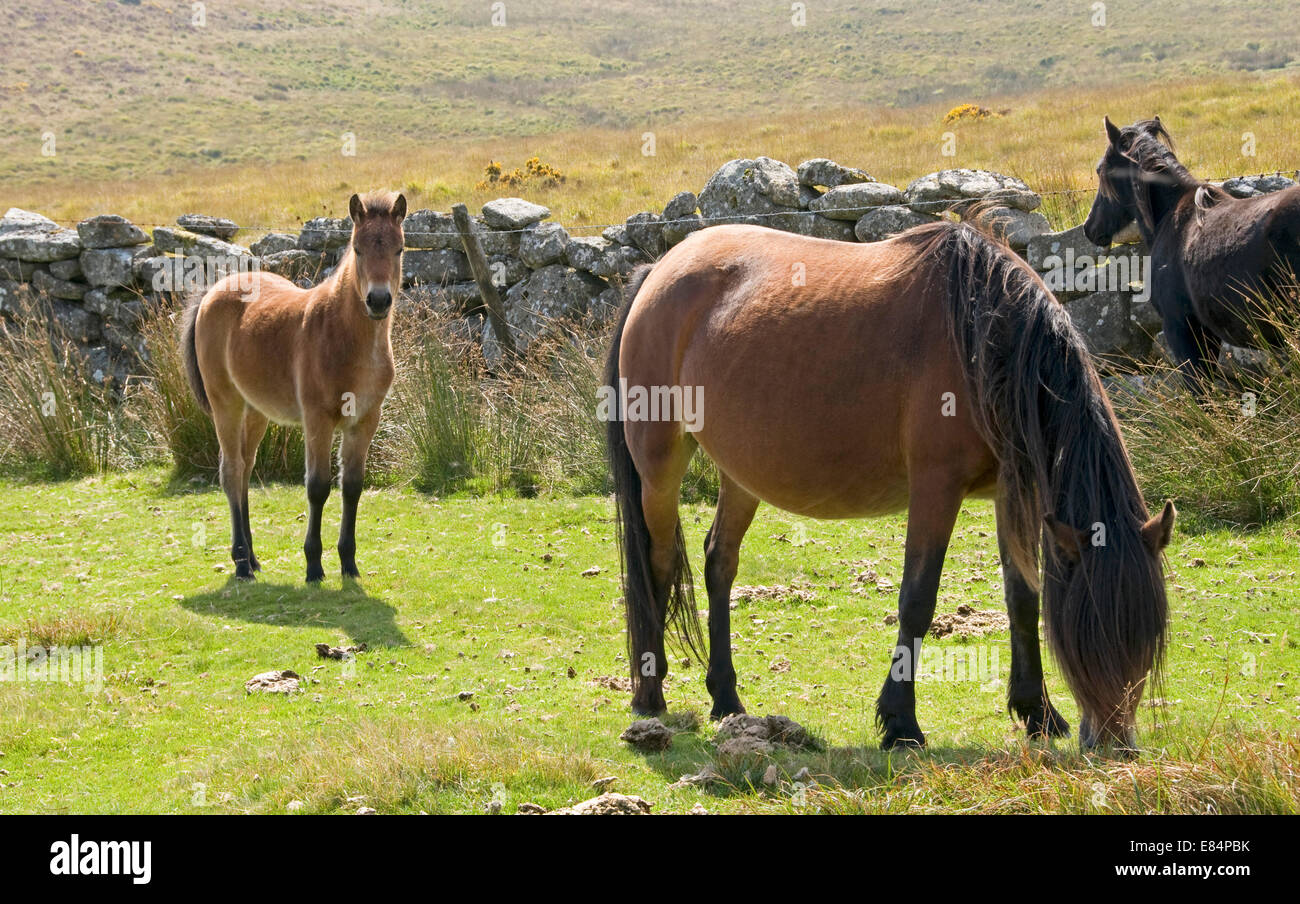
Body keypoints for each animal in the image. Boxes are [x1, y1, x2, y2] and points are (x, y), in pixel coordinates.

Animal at [180, 191, 406, 583]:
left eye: (399, 249)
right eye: (357, 249)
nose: (378, 301)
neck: (345, 335)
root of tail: (212, 291)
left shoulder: (365, 421)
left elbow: (352, 486)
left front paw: (349, 563)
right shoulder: (317, 419)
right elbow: (317, 487)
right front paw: (313, 565)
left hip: (256, 411)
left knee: (246, 469)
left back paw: (253, 558)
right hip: (226, 403)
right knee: (231, 471)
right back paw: (241, 563)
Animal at [605, 221, 1176, 753]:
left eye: (1147, 636)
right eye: (1092, 631)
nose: (1116, 745)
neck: (987, 336)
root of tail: (660, 268)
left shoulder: (1011, 493)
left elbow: (1022, 596)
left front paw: (1037, 712)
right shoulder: (935, 488)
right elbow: (917, 599)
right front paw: (902, 723)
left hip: (740, 475)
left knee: (719, 562)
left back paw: (726, 697)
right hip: (660, 467)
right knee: (656, 565)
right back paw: (650, 695)